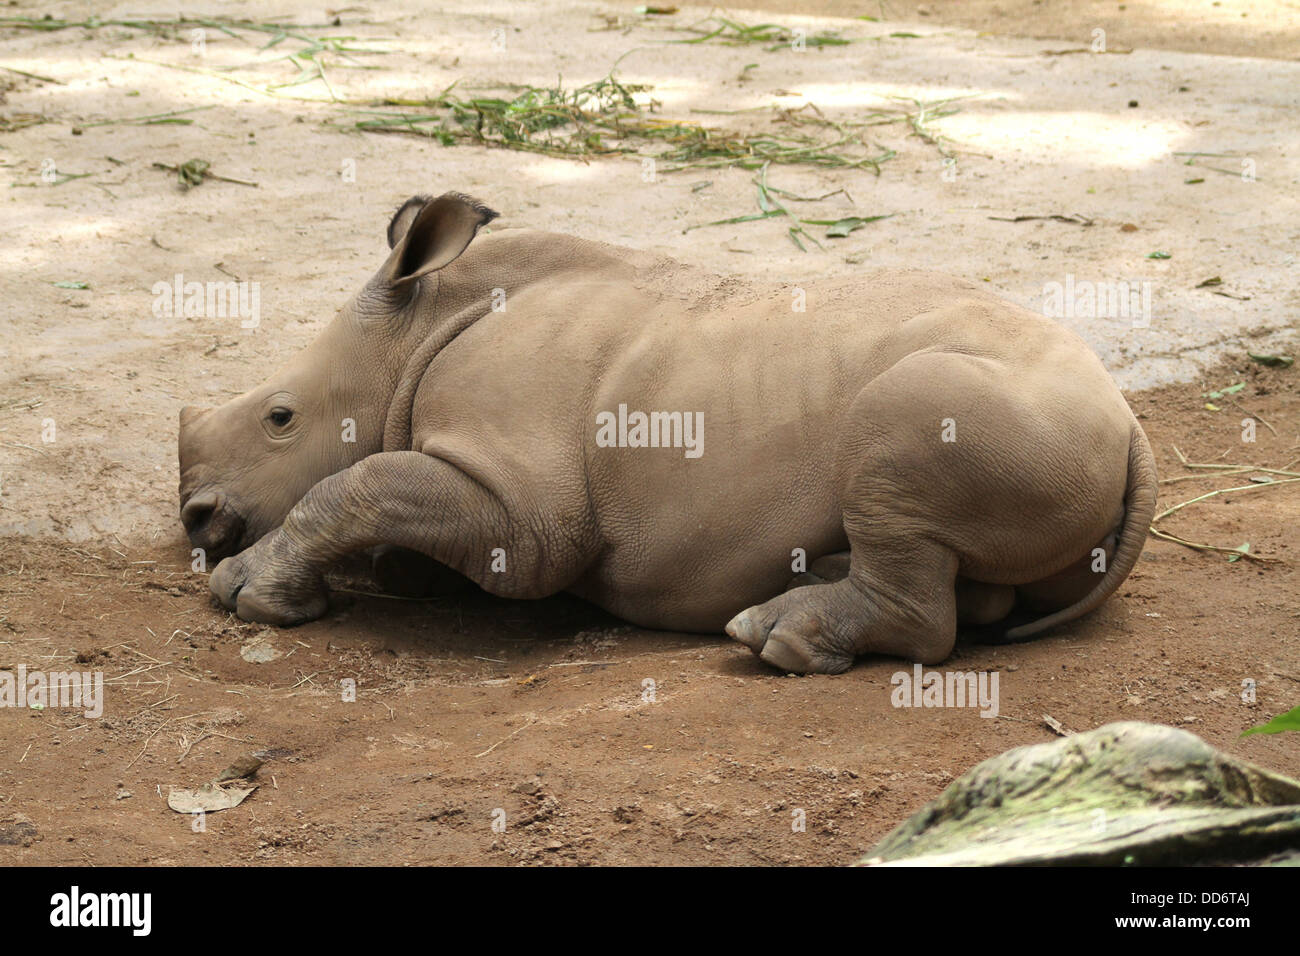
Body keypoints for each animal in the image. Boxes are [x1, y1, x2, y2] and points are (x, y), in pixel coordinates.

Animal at [177, 191, 1158, 674]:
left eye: (279, 418)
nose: (195, 516)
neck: (415, 329)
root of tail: (1128, 420)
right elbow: (383, 494)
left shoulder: (528, 514)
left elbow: (359, 482)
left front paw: (245, 592)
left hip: (1003, 405)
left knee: (899, 433)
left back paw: (774, 638)